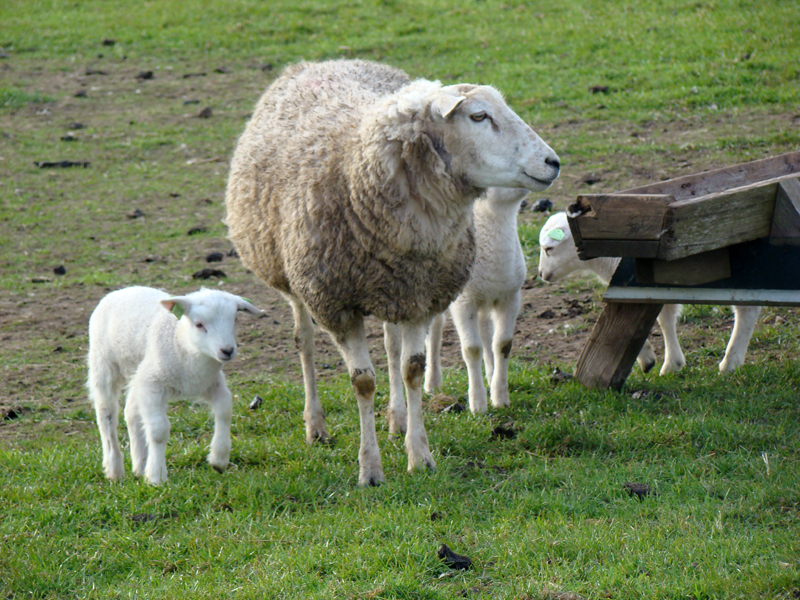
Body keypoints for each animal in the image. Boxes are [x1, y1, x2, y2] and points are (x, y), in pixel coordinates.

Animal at [87, 286, 262, 485]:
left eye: (235, 319)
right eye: (199, 324)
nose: (227, 350)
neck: (182, 342)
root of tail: (121, 289)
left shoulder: (210, 382)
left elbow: (225, 410)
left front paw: (219, 458)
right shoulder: (153, 385)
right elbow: (159, 430)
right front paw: (156, 476)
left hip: (140, 372)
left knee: (131, 412)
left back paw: (140, 465)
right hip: (103, 362)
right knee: (106, 414)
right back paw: (114, 468)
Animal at [387, 187, 530, 415]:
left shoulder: (510, 297)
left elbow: (502, 344)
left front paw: (500, 397)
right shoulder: (464, 303)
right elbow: (472, 348)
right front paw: (478, 404)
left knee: (472, 330)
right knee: (417, 337)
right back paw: (425, 385)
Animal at [538, 212, 761, 373]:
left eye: (549, 249)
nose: (540, 273)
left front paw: (656, 360)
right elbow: (665, 320)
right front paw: (671, 362)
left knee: (746, 311)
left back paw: (730, 362)